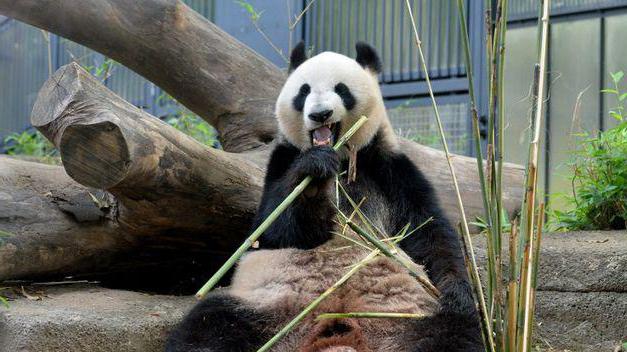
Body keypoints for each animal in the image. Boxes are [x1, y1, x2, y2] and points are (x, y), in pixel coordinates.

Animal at [166, 42, 480, 352]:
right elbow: (274, 230)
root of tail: (335, 329)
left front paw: (456, 288)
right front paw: (313, 181)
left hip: (409, 311)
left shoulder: (388, 168)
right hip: (263, 307)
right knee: (209, 326)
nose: (320, 114)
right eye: (303, 92)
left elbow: (427, 230)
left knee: (453, 330)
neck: (340, 158)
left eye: (342, 89)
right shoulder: (282, 162)